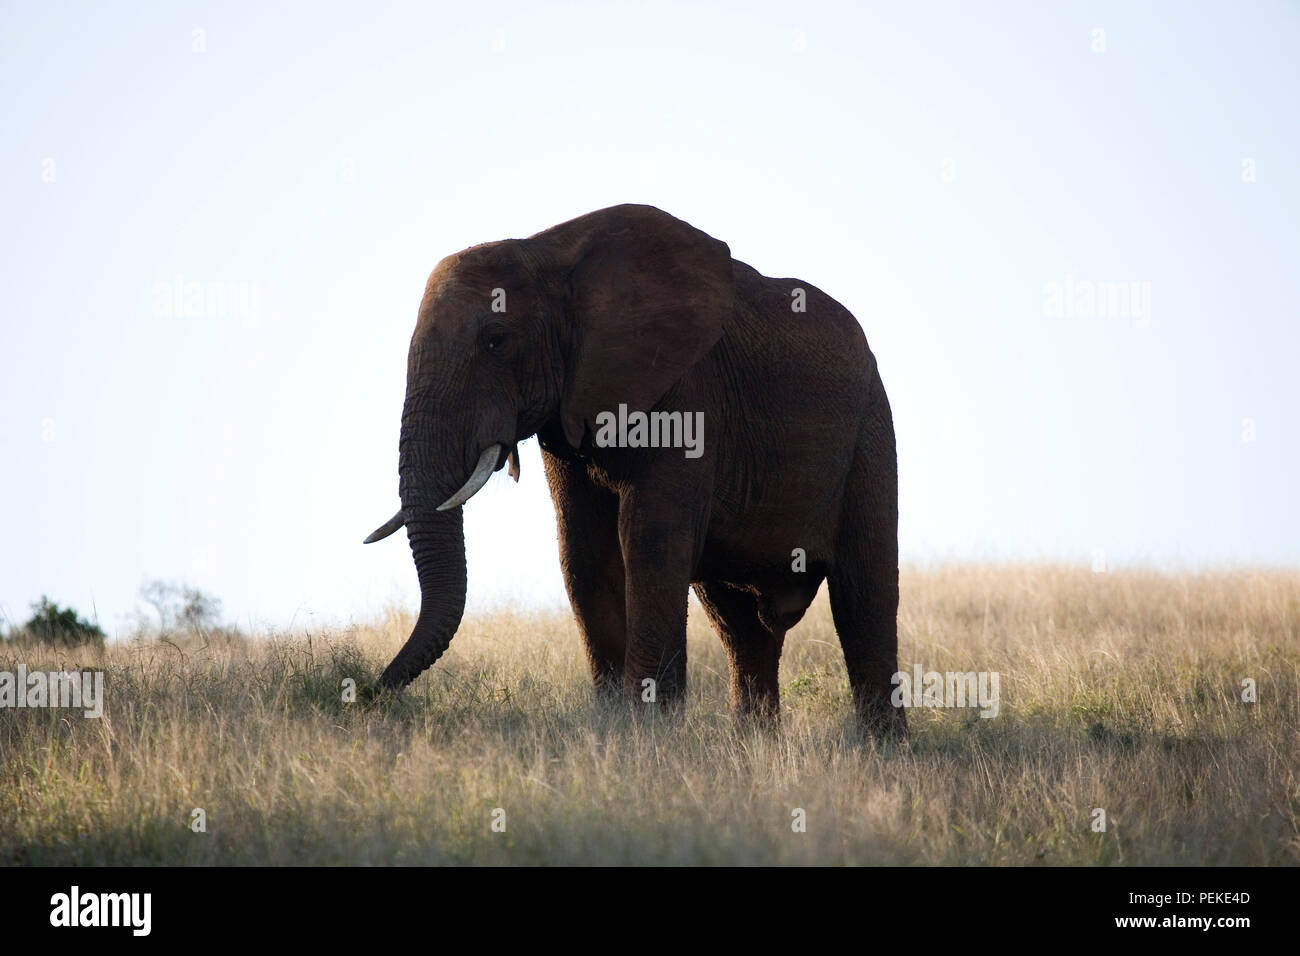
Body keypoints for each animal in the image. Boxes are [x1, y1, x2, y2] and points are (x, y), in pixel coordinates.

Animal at [363, 203, 904, 737]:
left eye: (496, 341)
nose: (371, 693)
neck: (547, 251)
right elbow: (582, 546)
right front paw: (613, 724)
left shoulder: (685, 388)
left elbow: (649, 537)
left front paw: (649, 729)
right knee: (739, 623)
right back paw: (755, 744)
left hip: (871, 428)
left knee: (863, 594)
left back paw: (881, 747)